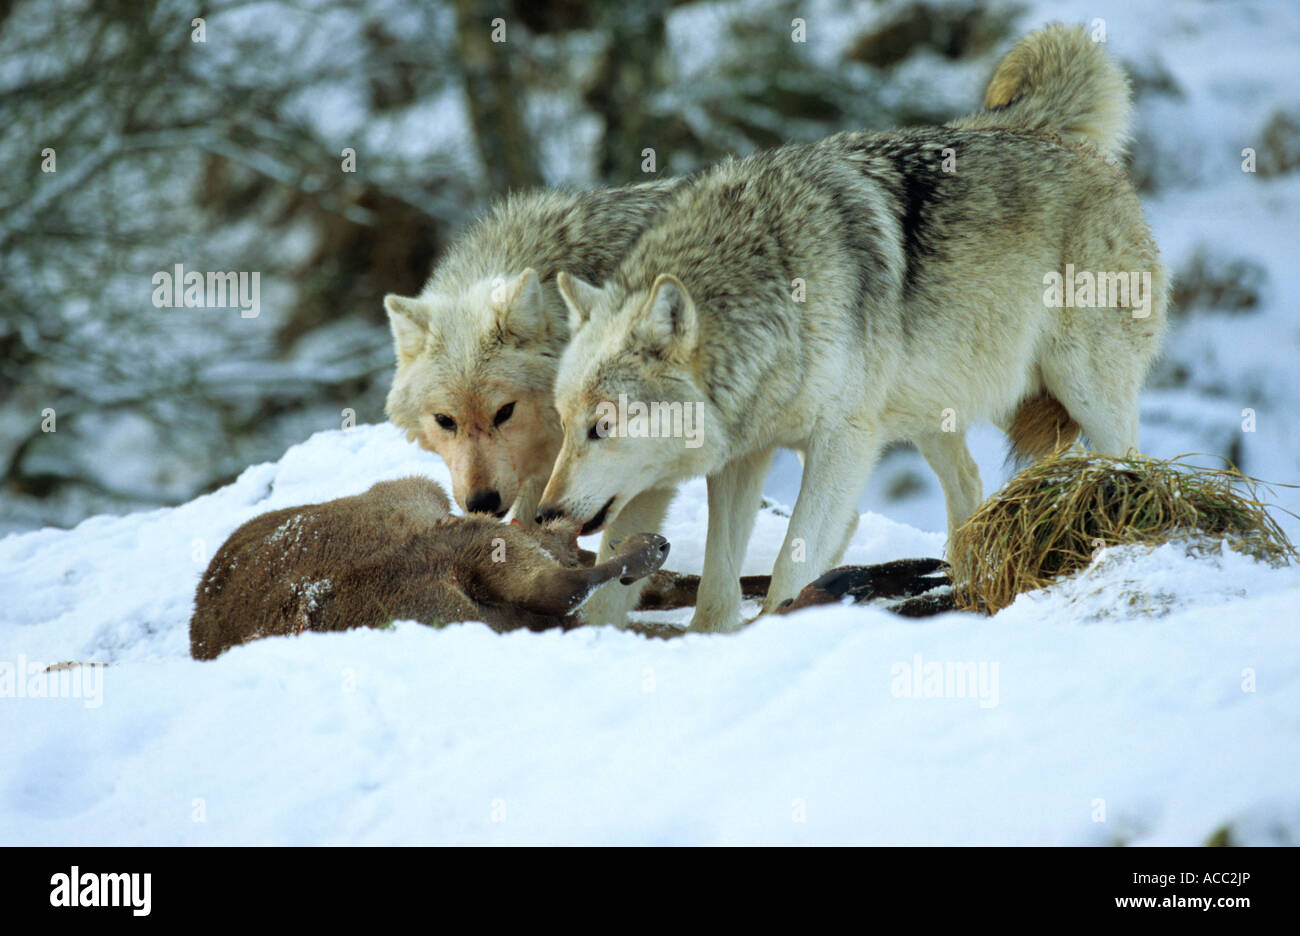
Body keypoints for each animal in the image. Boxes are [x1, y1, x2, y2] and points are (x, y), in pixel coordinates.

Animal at [536, 24, 1168, 631]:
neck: (774, 298)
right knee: (967, 481)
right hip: (930, 411)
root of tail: (1042, 131)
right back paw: (966, 585)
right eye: (563, 424)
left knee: (1130, 466)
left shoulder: (843, 441)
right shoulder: (748, 456)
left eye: (603, 426)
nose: (544, 514)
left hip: (1087, 396)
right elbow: (718, 588)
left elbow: (792, 561)